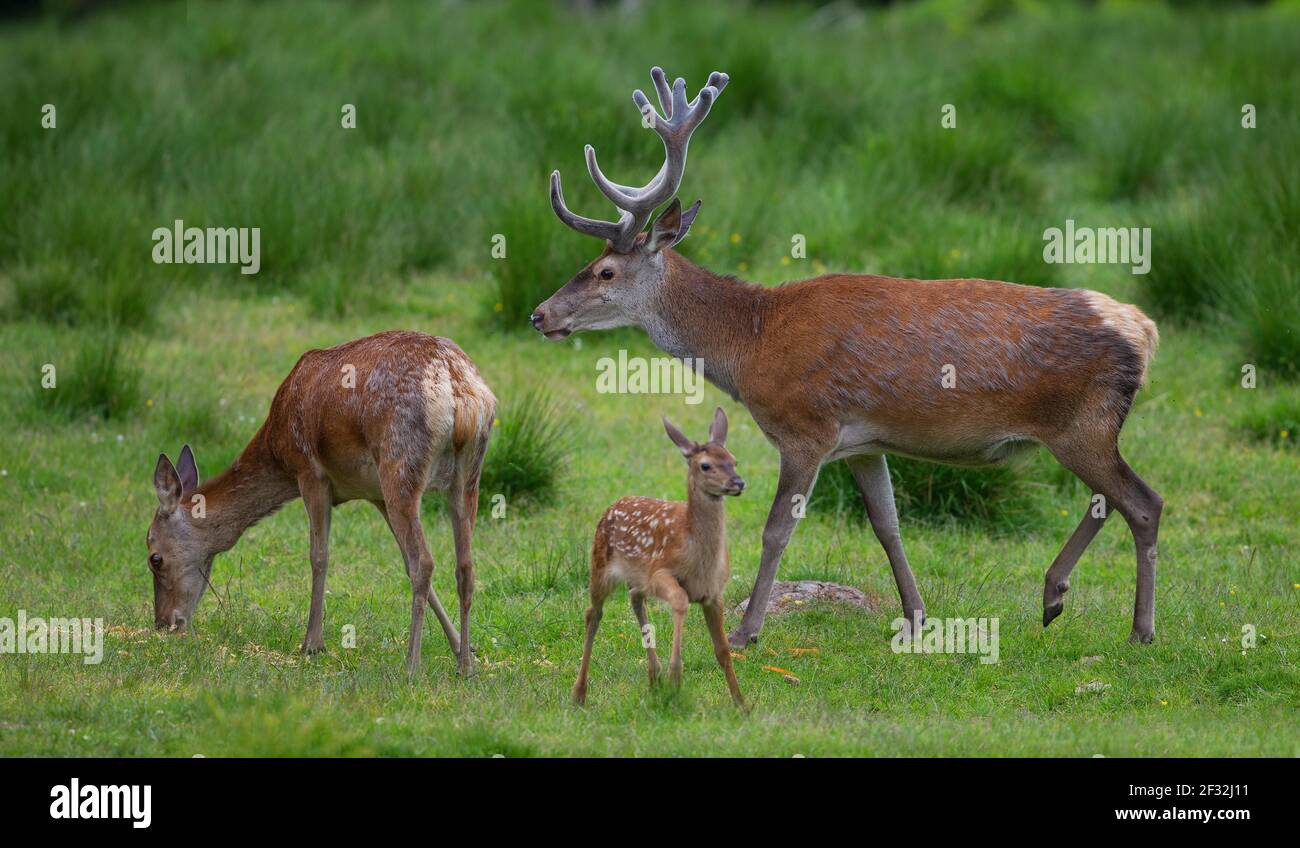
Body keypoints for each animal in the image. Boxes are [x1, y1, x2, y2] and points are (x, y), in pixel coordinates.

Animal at [145, 330, 496, 677]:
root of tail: (460, 392)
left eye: (155, 558)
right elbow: (403, 563)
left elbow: (319, 555)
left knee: (425, 561)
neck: (277, 448)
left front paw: (312, 644)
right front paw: (463, 647)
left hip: (400, 465)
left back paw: (411, 666)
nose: (163, 623)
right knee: (464, 565)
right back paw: (465, 667)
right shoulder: (375, 494)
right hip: (466, 474)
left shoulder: (310, 471)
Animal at [531, 67, 1163, 650]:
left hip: (1081, 424)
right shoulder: (864, 442)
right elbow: (888, 525)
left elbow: (775, 530)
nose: (540, 314)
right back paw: (1054, 595)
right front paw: (916, 617)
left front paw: (745, 631)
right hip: (1085, 428)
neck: (751, 344)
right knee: (1110, 500)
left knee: (1143, 502)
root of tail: (1145, 328)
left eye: (604, 271)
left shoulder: (806, 428)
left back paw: (1137, 628)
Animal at [573, 407, 746, 708]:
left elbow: (722, 650)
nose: (738, 482)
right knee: (593, 613)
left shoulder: (714, 593)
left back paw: (654, 678)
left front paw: (741, 702)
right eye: (705, 465)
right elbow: (680, 601)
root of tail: (613, 505)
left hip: (635, 576)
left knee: (634, 599)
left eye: (733, 460)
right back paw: (579, 693)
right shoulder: (659, 571)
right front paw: (676, 679)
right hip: (599, 565)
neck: (699, 559)